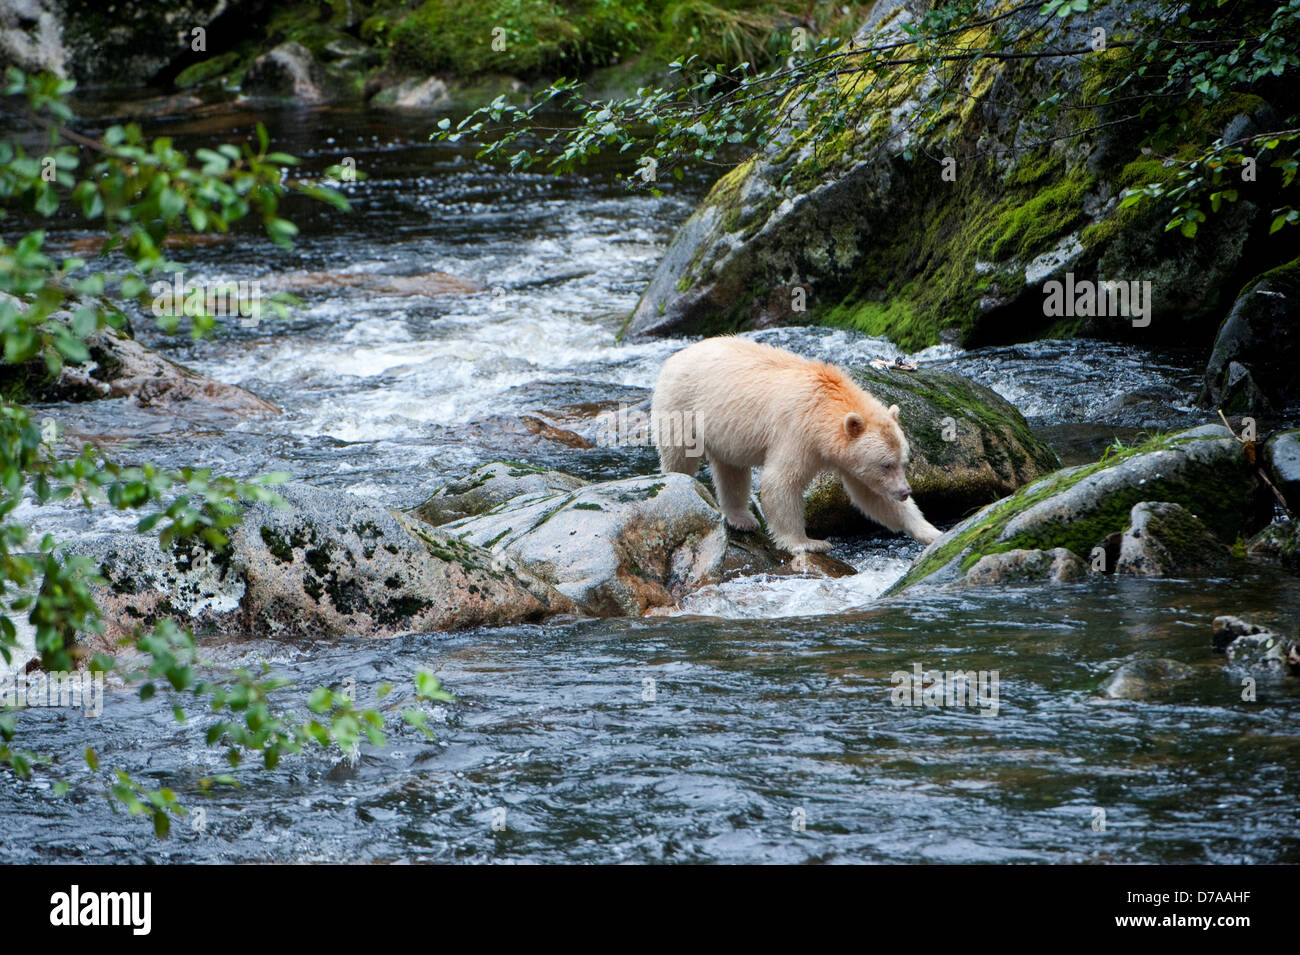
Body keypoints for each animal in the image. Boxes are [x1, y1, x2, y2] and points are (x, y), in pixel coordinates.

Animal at [650, 336, 941, 552]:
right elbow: (781, 481)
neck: (824, 406)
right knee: (680, 455)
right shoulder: (797, 431)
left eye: (903, 461)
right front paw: (808, 543)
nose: (905, 491)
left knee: (731, 470)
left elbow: (872, 496)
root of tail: (676, 356)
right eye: (886, 464)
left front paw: (932, 532)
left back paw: (741, 518)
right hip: (682, 405)